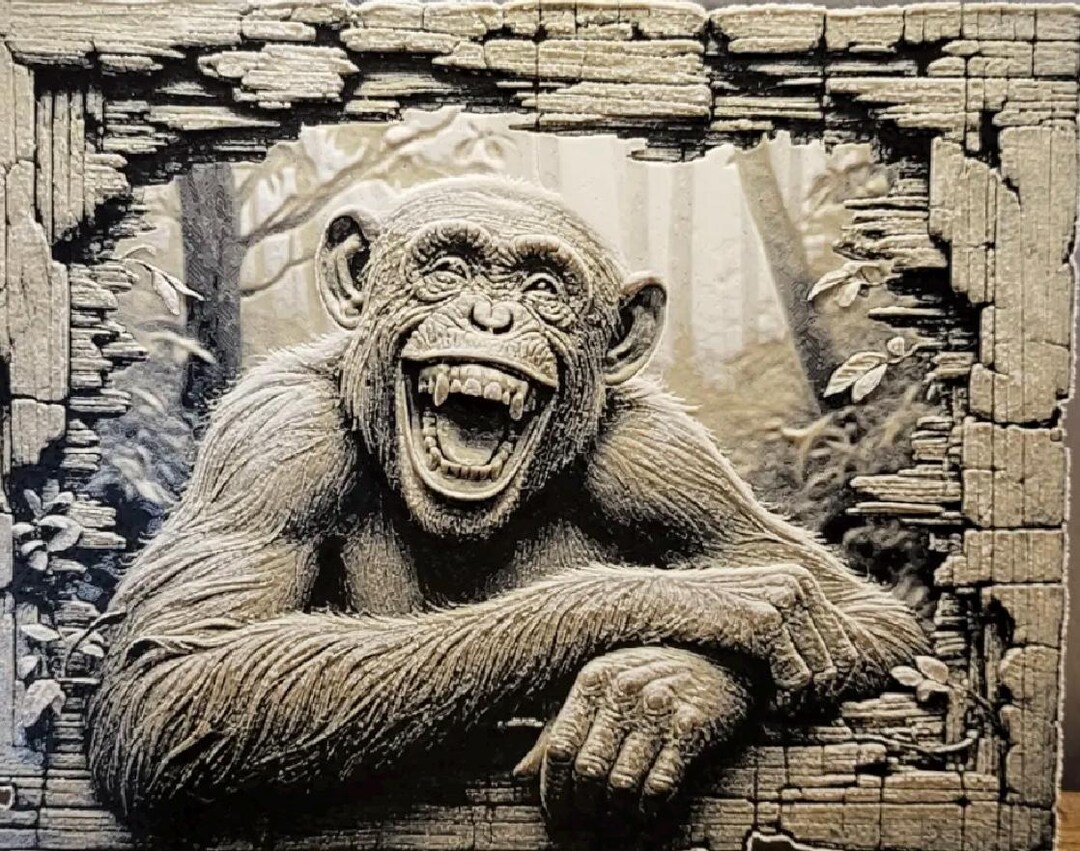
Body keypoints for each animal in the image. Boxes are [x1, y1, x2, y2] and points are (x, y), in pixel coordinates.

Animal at [87, 176, 927, 832]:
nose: (493, 319)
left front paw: (665, 688)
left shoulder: (666, 458)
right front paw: (710, 605)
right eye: (448, 270)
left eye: (544, 289)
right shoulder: (271, 440)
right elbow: (169, 677)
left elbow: (872, 616)